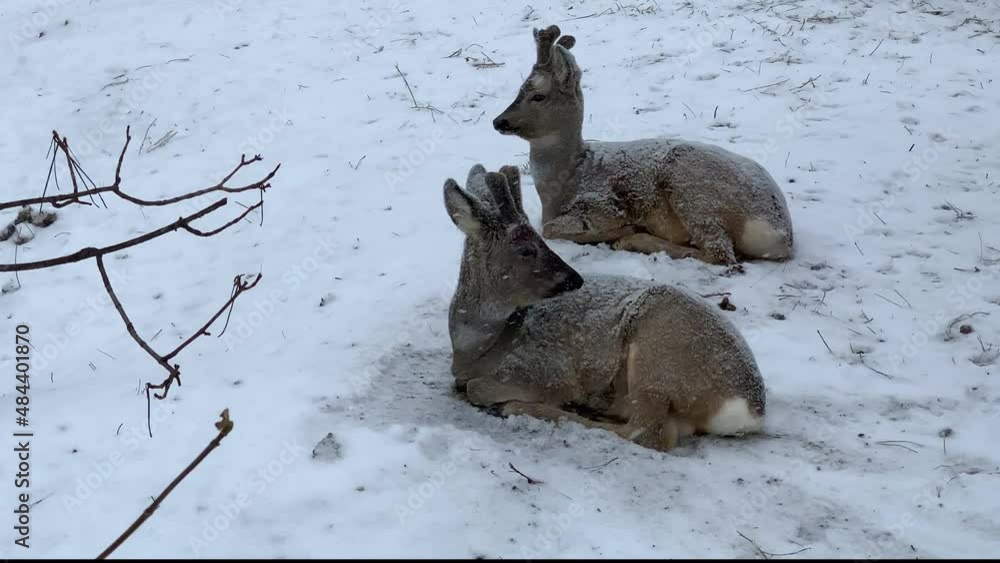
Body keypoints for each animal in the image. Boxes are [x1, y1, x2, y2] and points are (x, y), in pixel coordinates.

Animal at [443, 164, 767, 452]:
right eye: (526, 249)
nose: (575, 278)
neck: (480, 348)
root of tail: (751, 408)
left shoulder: (547, 370)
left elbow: (476, 388)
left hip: (657, 355)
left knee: (648, 433)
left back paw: (528, 408)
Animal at [492, 25, 794, 274]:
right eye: (519, 90)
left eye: (538, 96)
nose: (498, 121)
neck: (566, 180)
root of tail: (782, 234)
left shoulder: (603, 204)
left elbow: (551, 228)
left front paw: (617, 231)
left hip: (692, 188)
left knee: (722, 255)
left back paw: (632, 239)